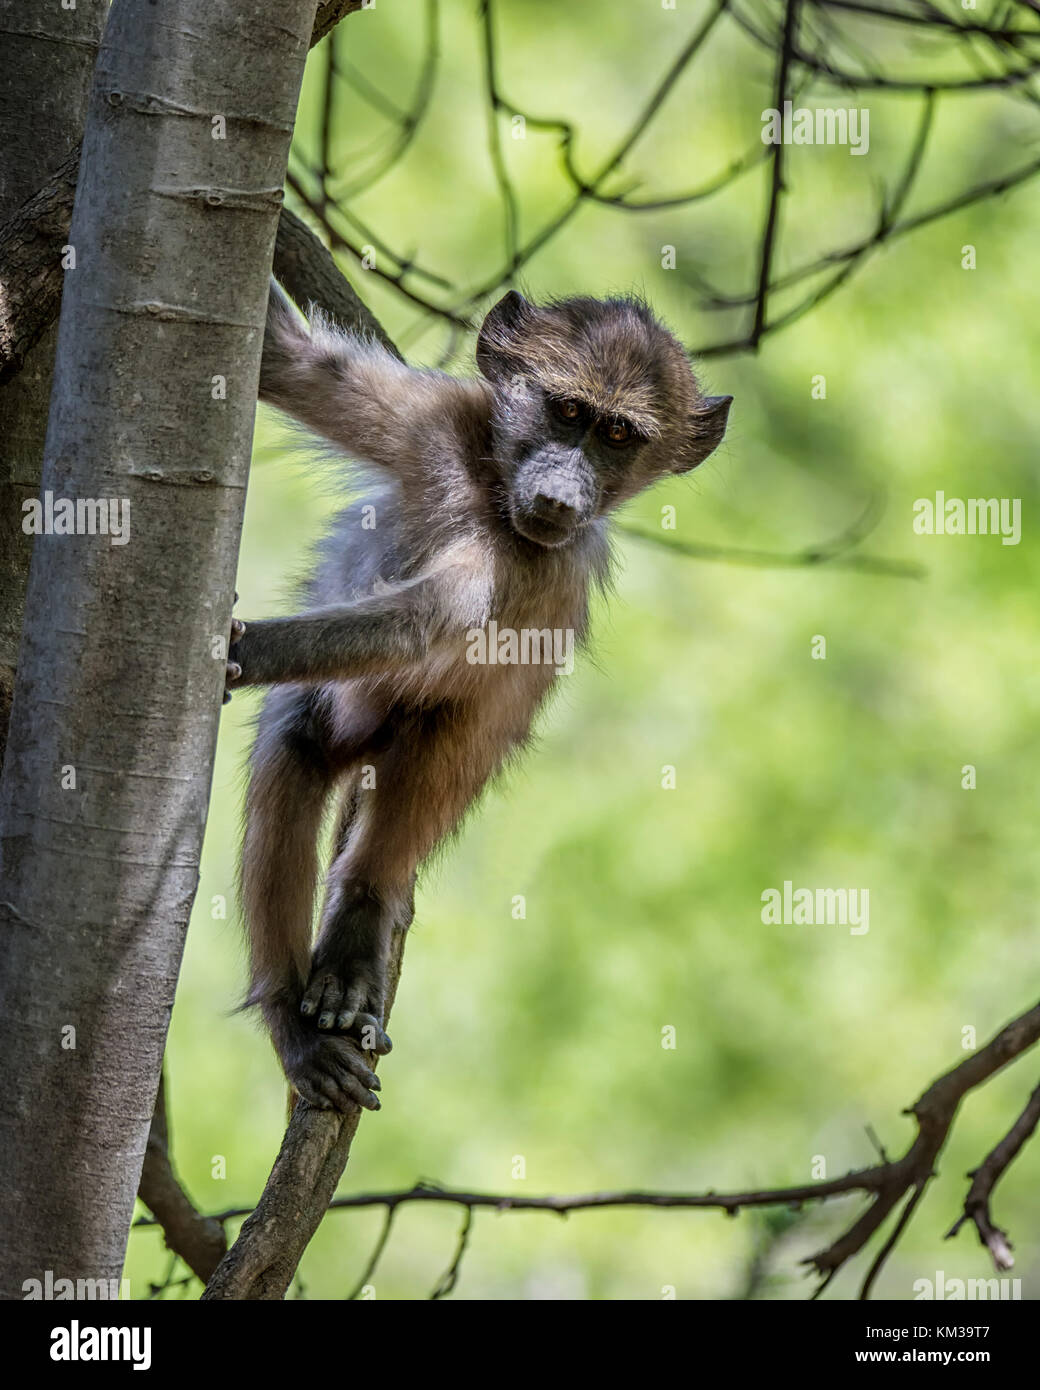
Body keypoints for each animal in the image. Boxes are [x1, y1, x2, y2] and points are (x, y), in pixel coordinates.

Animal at [225, 279, 732, 1113]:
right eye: (567, 412)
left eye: (618, 436)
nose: (561, 495)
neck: (491, 492)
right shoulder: (428, 419)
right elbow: (290, 363)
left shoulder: (532, 566)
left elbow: (422, 624)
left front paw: (244, 651)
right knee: (295, 754)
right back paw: (290, 1011)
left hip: (453, 741)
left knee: (437, 755)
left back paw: (358, 920)